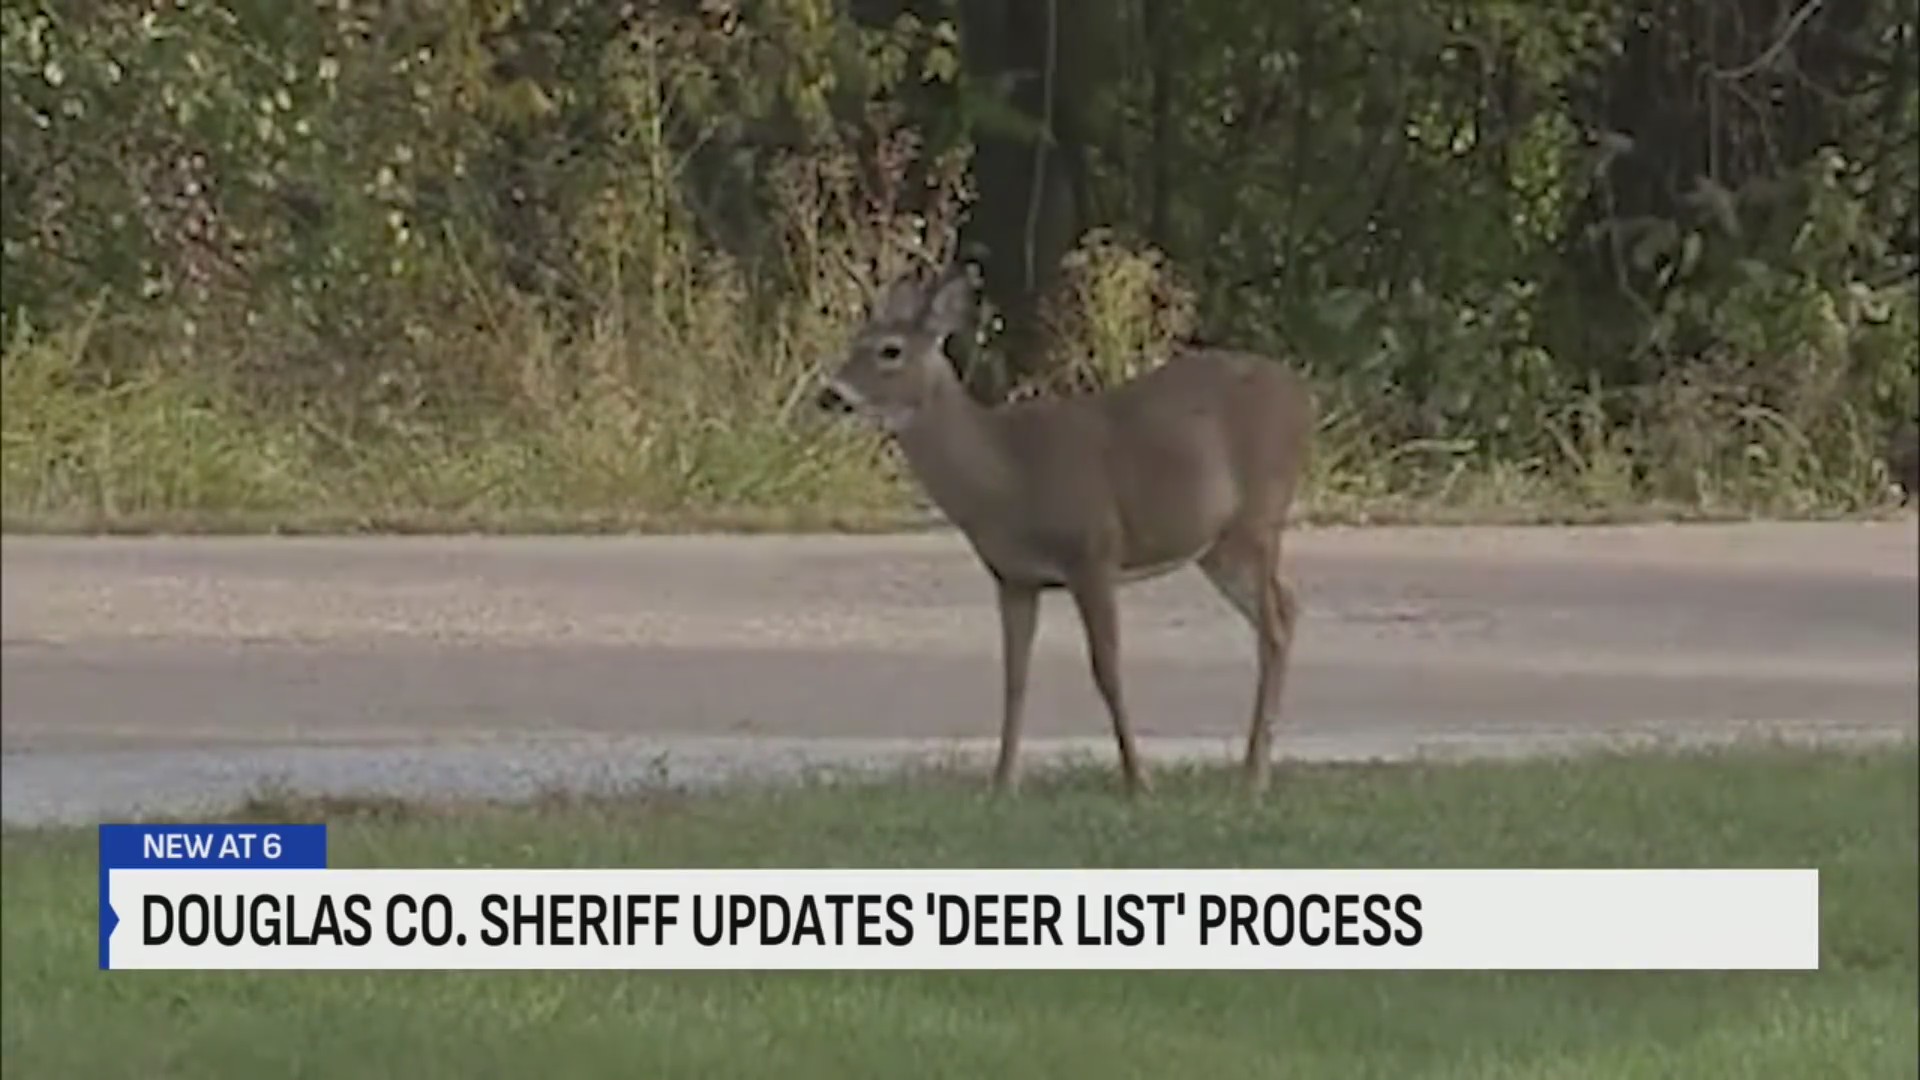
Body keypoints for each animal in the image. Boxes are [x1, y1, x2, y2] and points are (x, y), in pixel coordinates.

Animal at [817, 265, 1315, 796]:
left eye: (889, 350)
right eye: (854, 341)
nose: (829, 394)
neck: (1006, 475)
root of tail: (1302, 395)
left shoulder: (1092, 553)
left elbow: (1107, 670)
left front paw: (1138, 781)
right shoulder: (1014, 577)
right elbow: (1014, 677)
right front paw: (1002, 783)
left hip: (1258, 517)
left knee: (1274, 625)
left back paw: (1254, 777)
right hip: (1216, 547)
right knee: (1285, 608)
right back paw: (1252, 769)